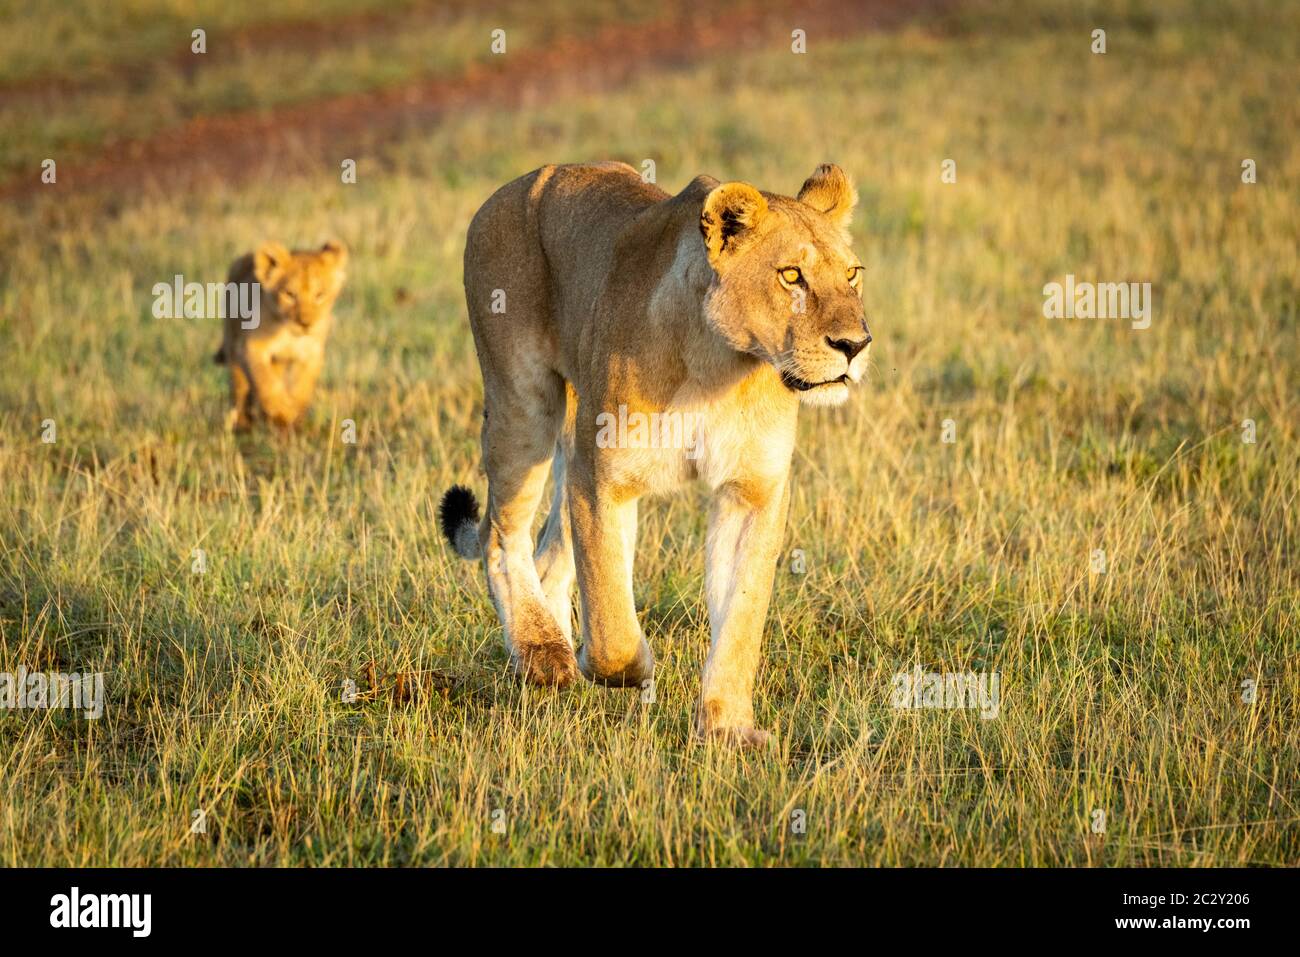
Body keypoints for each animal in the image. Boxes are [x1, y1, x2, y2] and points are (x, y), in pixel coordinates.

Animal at [214, 240, 348, 430]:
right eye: (289, 294)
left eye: (320, 295)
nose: (305, 323)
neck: (289, 333)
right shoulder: (251, 348)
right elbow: (266, 382)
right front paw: (282, 412)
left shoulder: (312, 353)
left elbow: (302, 386)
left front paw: (294, 412)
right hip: (233, 345)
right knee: (239, 386)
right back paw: (242, 422)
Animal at [439, 162, 871, 745]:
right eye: (790, 276)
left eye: (852, 275)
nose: (855, 345)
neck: (719, 364)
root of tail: (516, 185)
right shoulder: (602, 476)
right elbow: (611, 625)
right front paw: (621, 666)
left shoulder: (754, 490)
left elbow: (742, 617)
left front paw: (728, 729)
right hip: (523, 404)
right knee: (501, 535)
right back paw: (544, 653)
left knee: (549, 554)